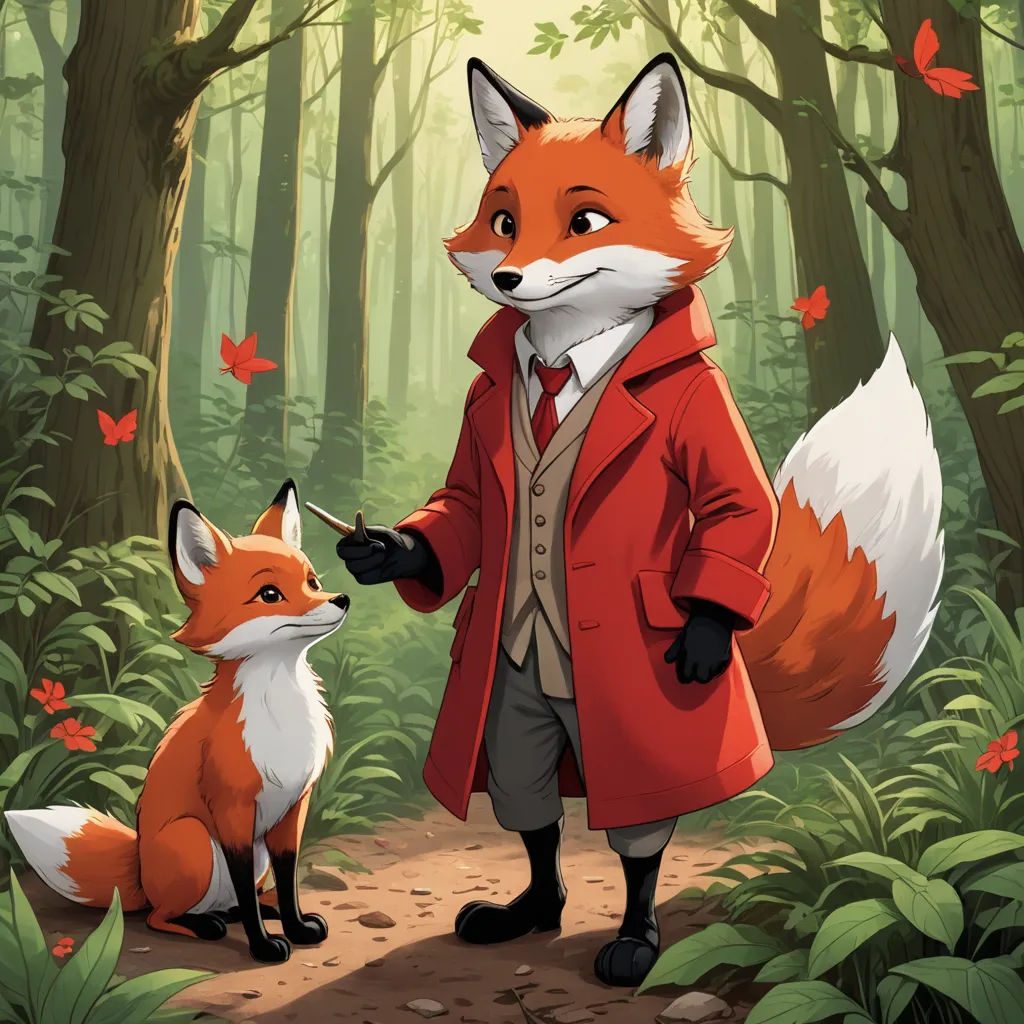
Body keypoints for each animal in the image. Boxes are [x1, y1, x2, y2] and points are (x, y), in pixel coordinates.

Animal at [5, 480, 348, 963]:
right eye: (270, 594)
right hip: (195, 843)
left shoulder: (292, 811)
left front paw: (296, 926)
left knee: (230, 902)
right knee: (161, 916)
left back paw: (240, 916)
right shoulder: (233, 811)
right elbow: (247, 888)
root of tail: (140, 874)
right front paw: (263, 946)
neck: (279, 715)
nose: (341, 599)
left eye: (312, 581)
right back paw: (206, 925)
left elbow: (287, 882)